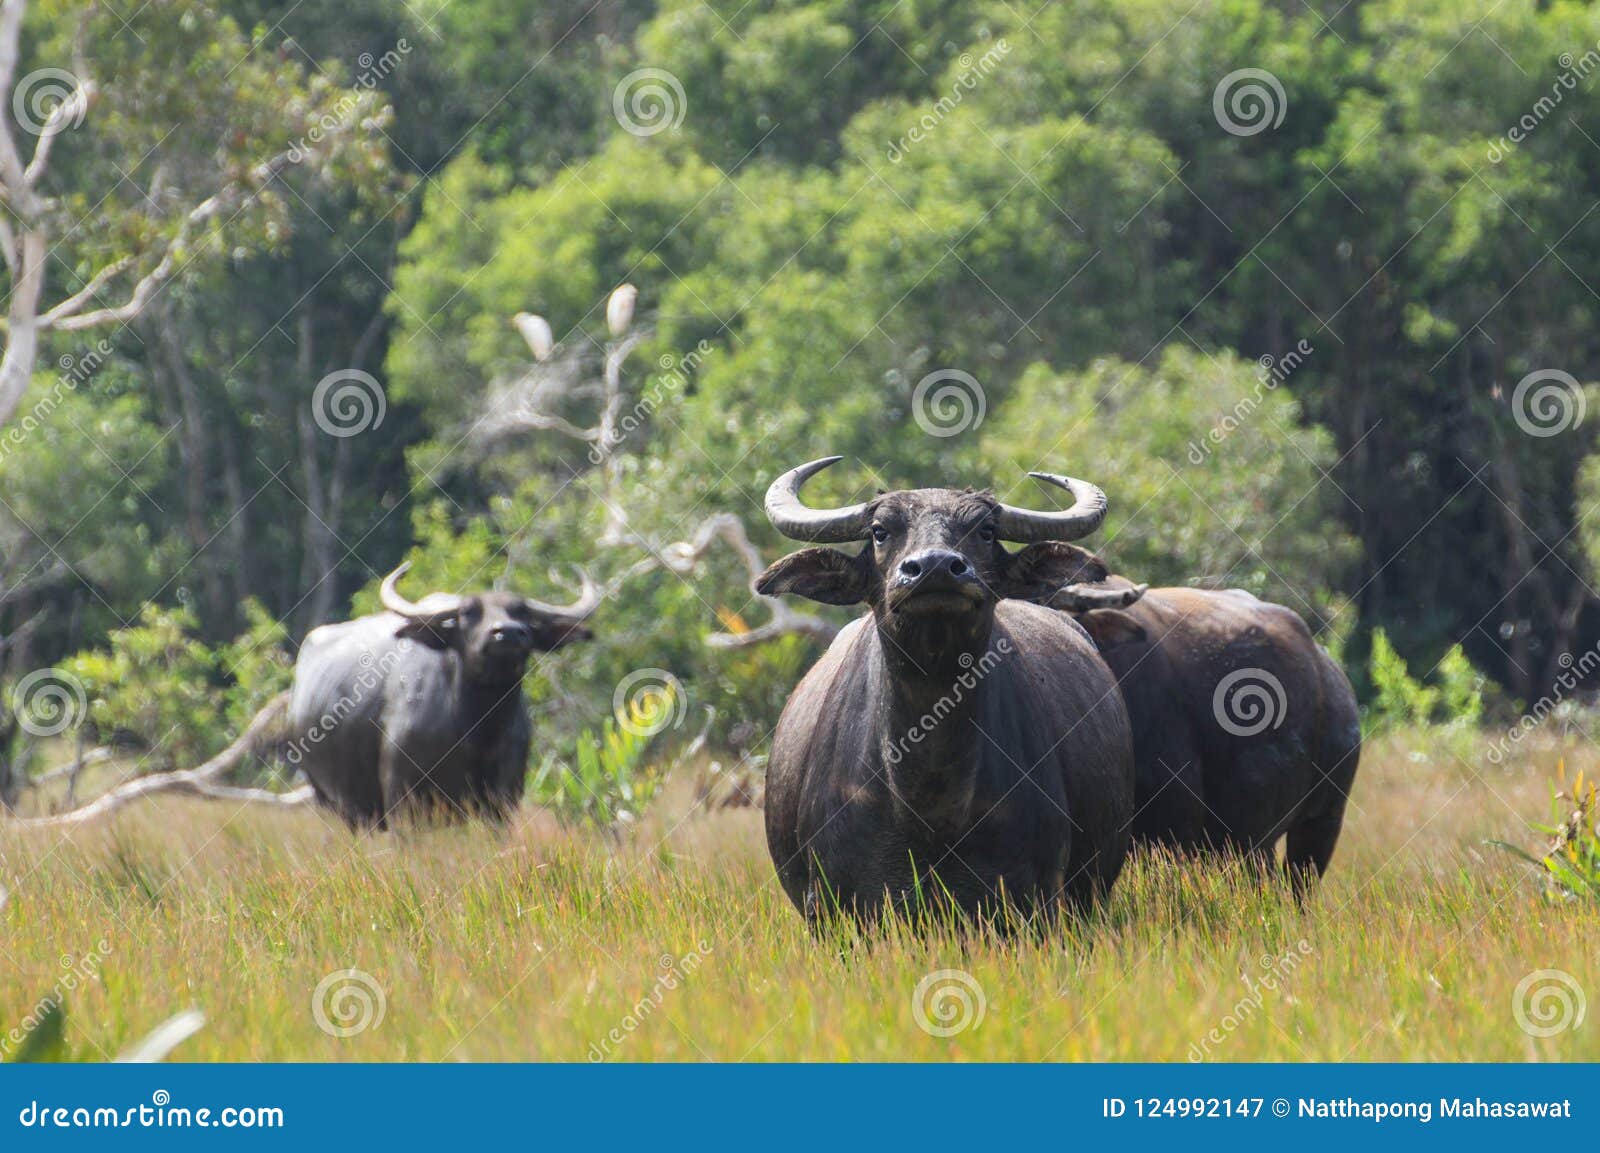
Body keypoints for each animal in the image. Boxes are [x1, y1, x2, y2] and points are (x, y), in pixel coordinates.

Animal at [288, 562, 598, 827]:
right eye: (469, 612)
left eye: (521, 612)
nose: (508, 633)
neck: (478, 730)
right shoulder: (403, 799)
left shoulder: (503, 799)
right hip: (336, 803)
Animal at [755, 457, 1142, 926]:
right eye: (880, 531)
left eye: (986, 530)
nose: (935, 567)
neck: (929, 798)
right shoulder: (831, 907)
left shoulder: (1035, 900)